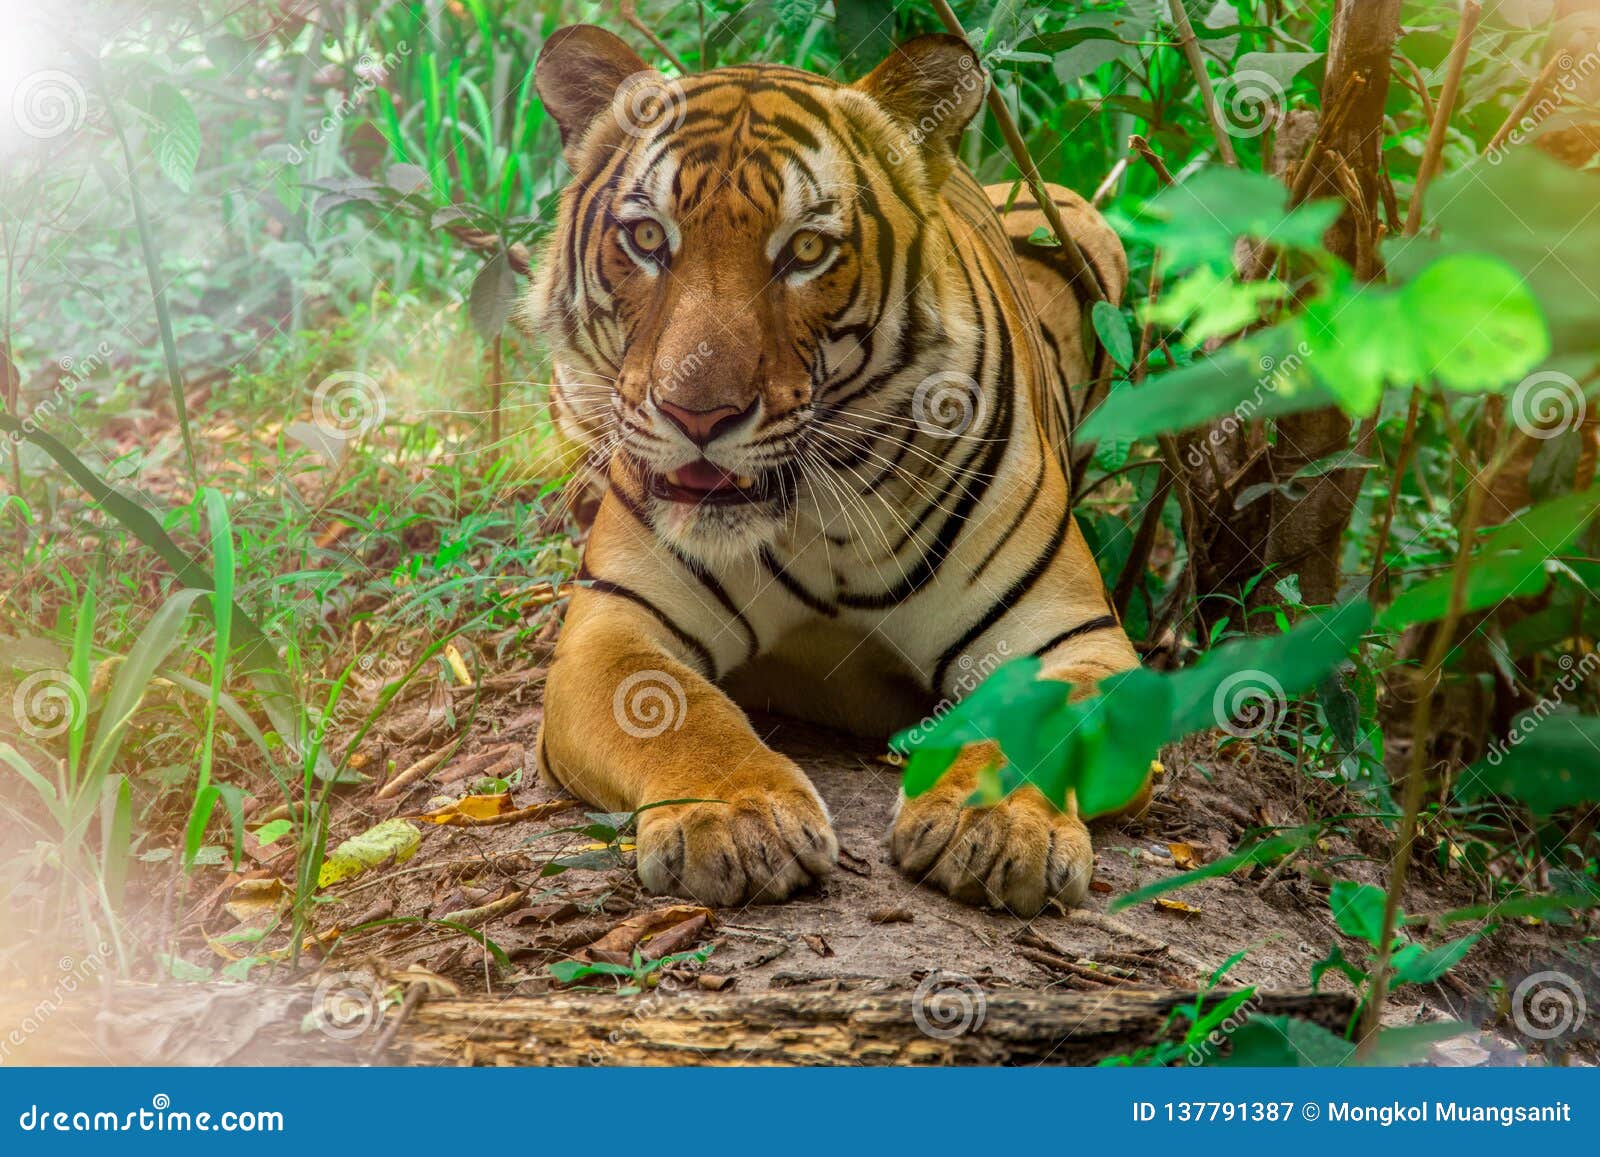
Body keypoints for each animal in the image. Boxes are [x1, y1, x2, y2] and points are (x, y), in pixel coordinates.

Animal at [523, 24, 1143, 915]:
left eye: (807, 250)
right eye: (646, 239)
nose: (697, 416)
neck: (826, 512)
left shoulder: (1072, 636)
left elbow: (1033, 716)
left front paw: (993, 827)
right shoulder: (617, 623)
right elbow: (684, 717)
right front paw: (741, 819)